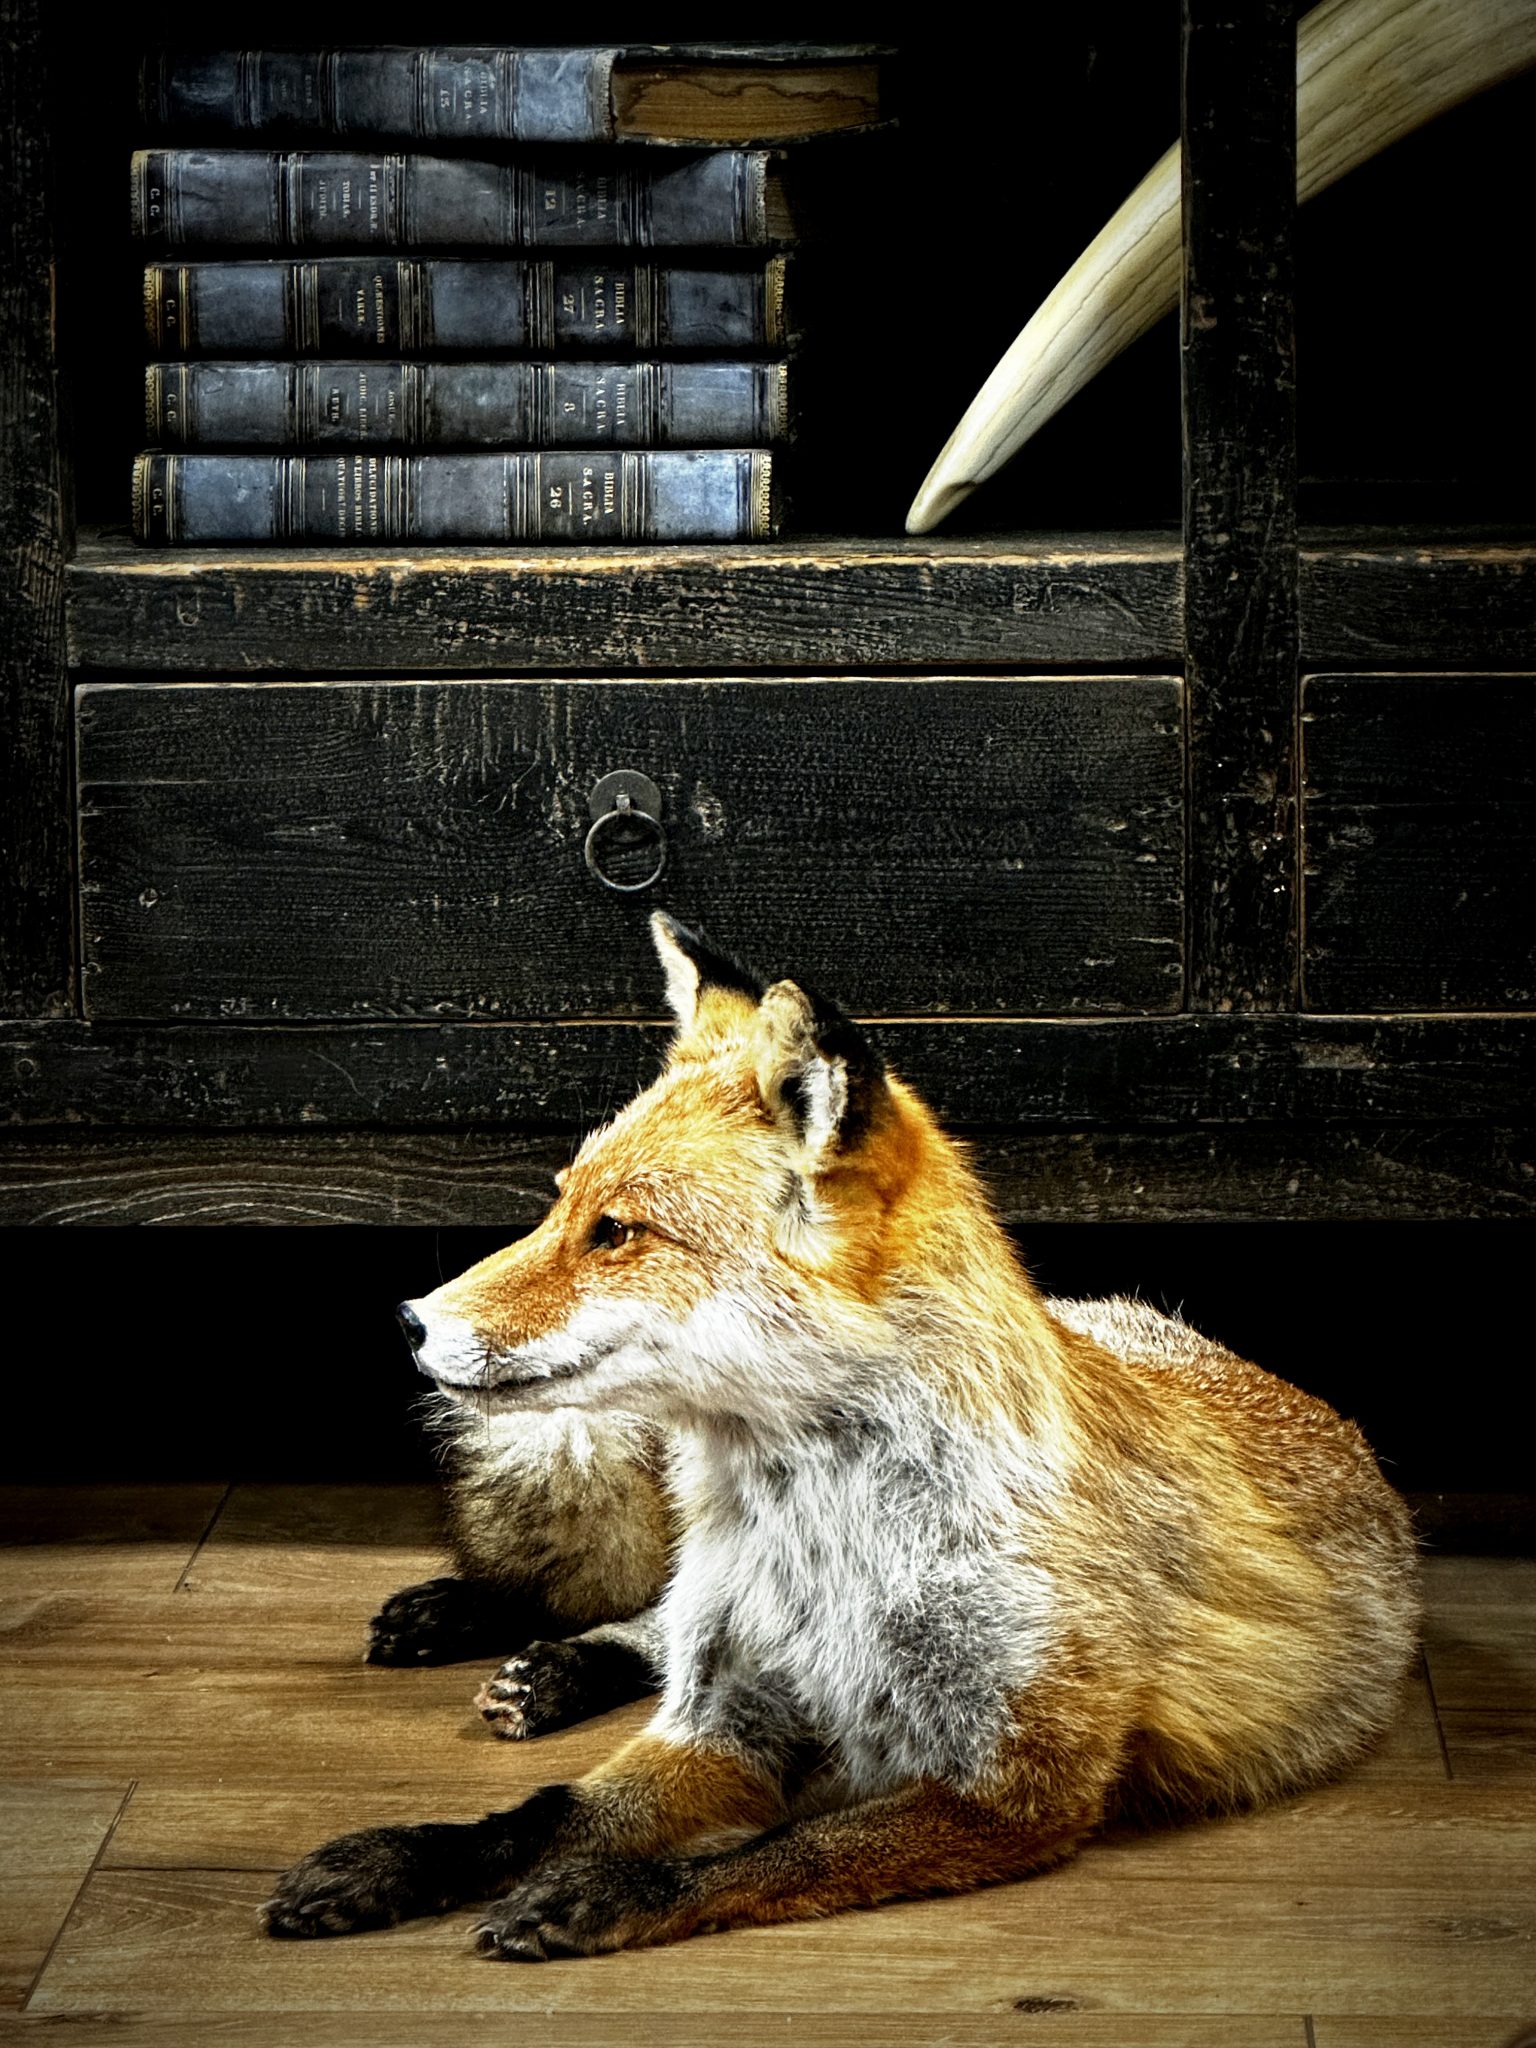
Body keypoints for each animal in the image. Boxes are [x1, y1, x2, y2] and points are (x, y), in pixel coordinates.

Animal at [264, 911, 1420, 1960]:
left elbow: (778, 1851)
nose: (409, 1320)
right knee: (646, 1616)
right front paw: (397, 1856)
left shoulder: (1013, 1784)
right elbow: (545, 1810)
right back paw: (507, 1641)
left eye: (616, 1231)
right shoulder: (723, 1723)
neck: (817, 1546)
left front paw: (609, 1890)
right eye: (558, 1206)